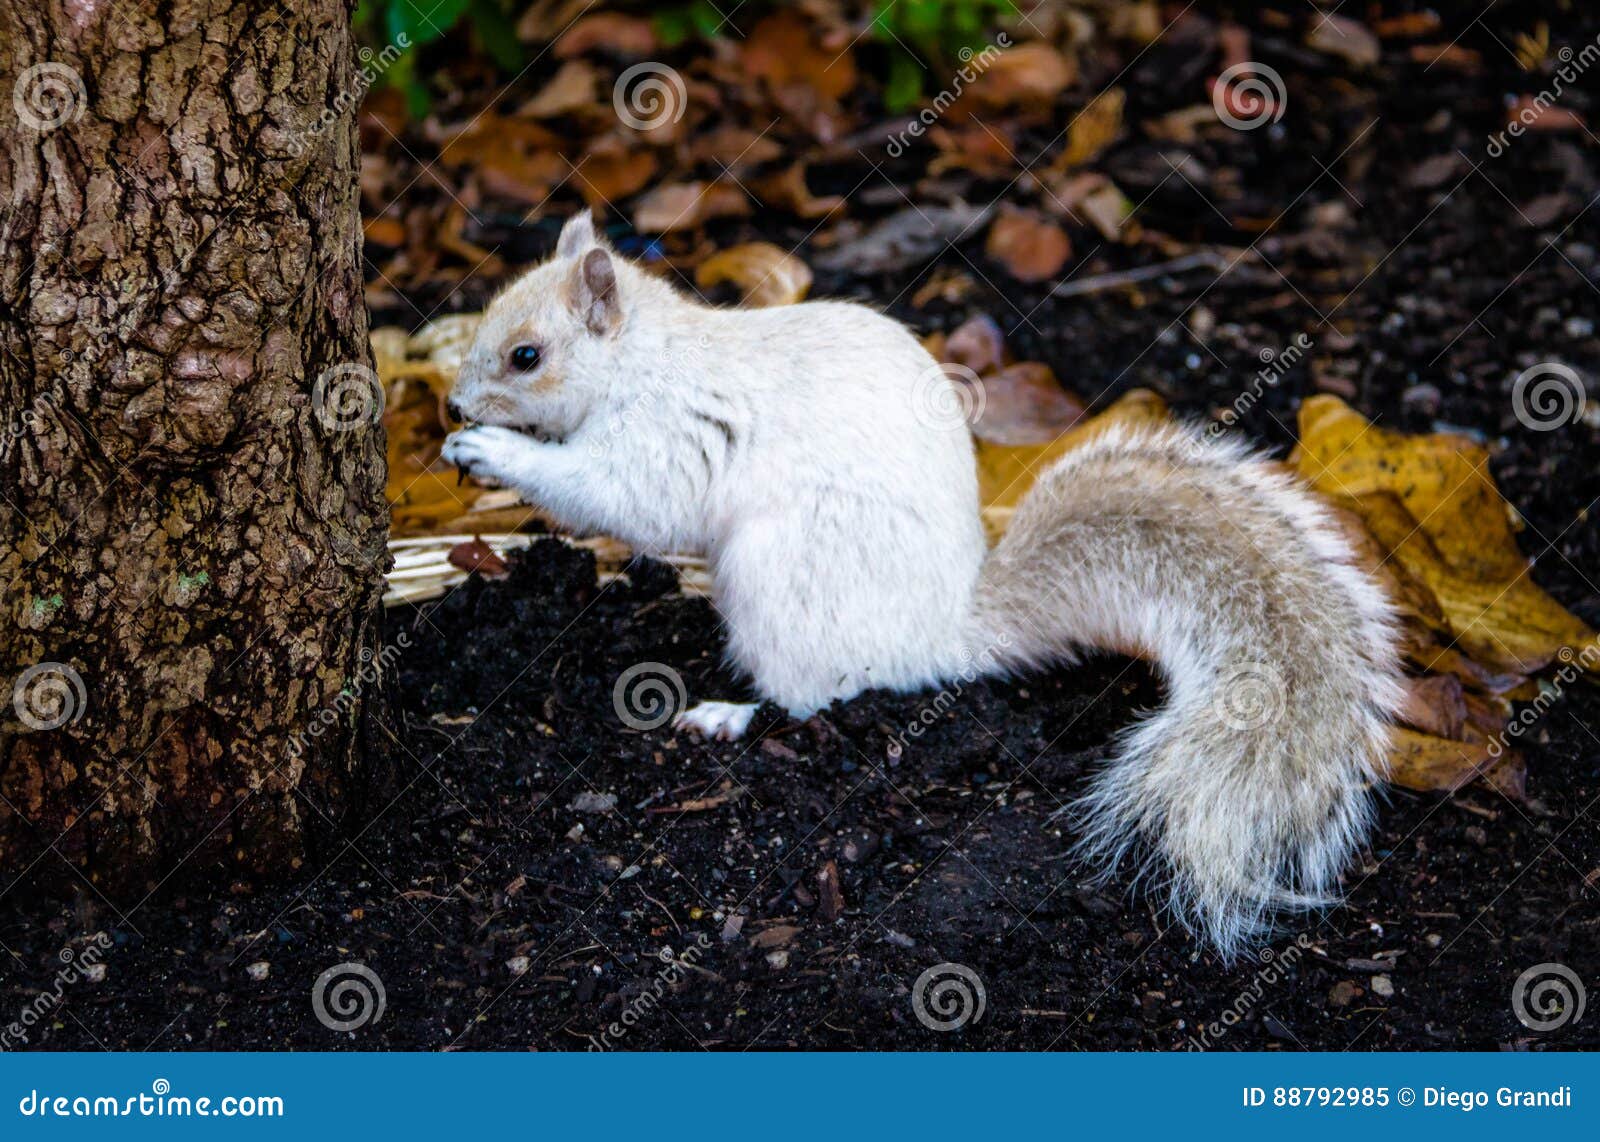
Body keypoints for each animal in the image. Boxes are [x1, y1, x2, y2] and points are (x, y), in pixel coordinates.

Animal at [442, 211, 1406, 957]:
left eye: (526, 355)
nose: (451, 408)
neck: (645, 362)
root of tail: (947, 633)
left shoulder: (670, 436)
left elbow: (623, 496)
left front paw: (498, 455)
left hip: (783, 584)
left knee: (812, 695)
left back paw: (727, 714)